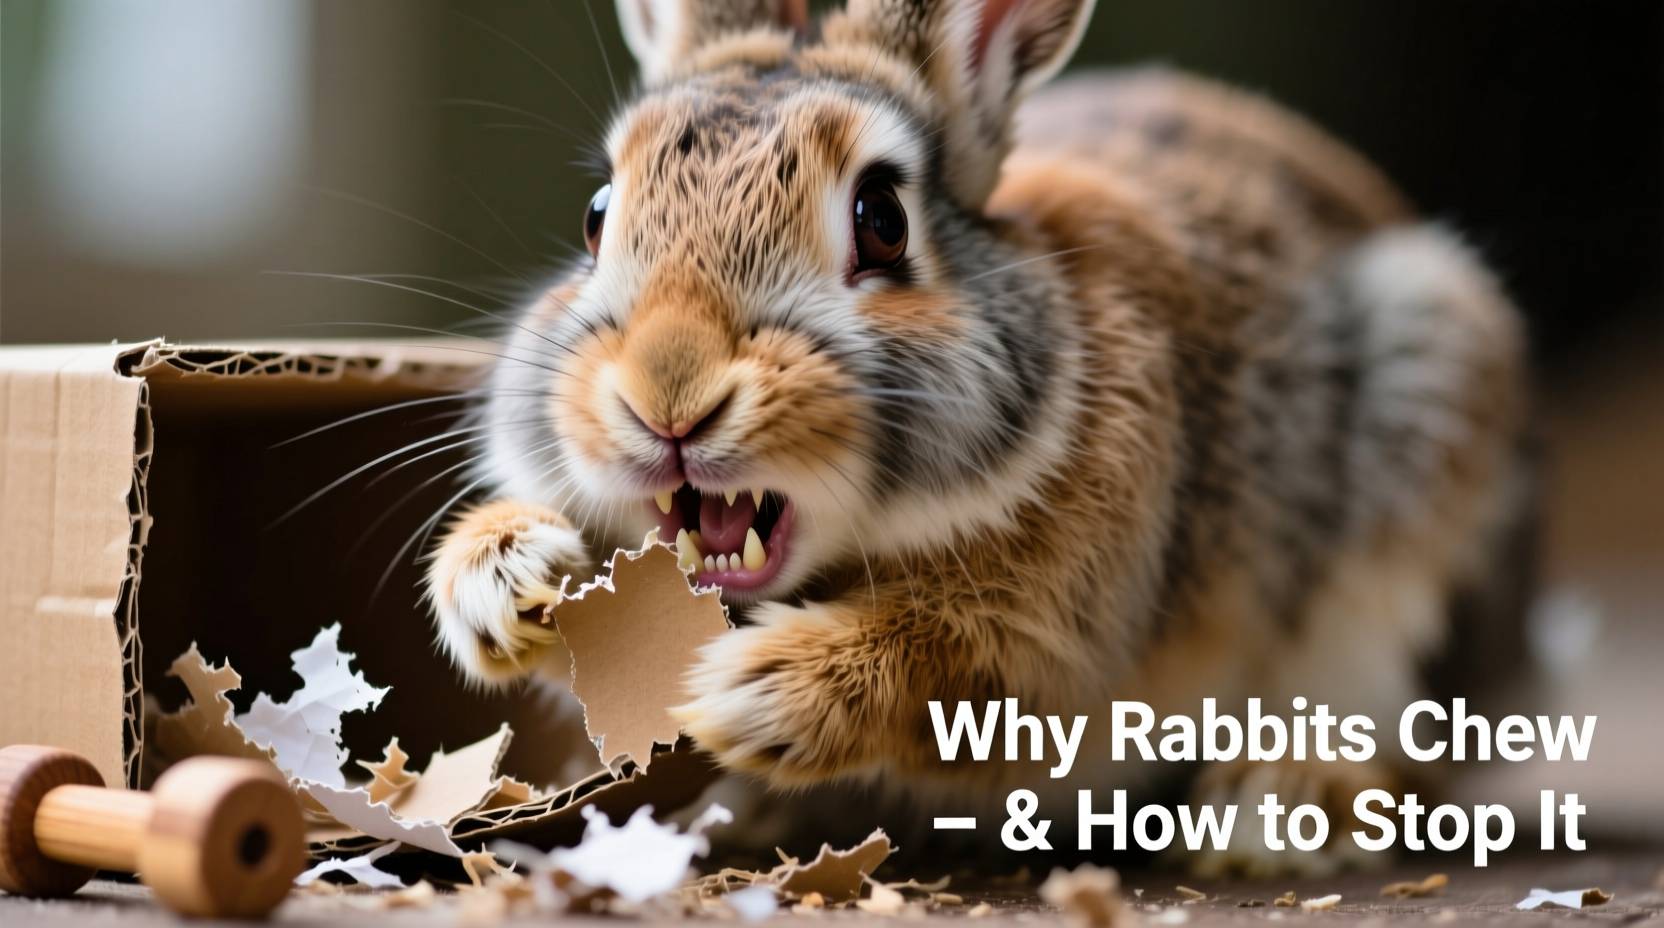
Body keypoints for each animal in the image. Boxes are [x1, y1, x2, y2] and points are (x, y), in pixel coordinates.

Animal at [424, 0, 1531, 875]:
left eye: (881, 219)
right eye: (595, 216)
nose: (670, 395)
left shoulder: (1053, 645)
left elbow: (949, 661)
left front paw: (746, 695)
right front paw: (512, 580)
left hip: (1422, 438)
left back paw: (1276, 810)